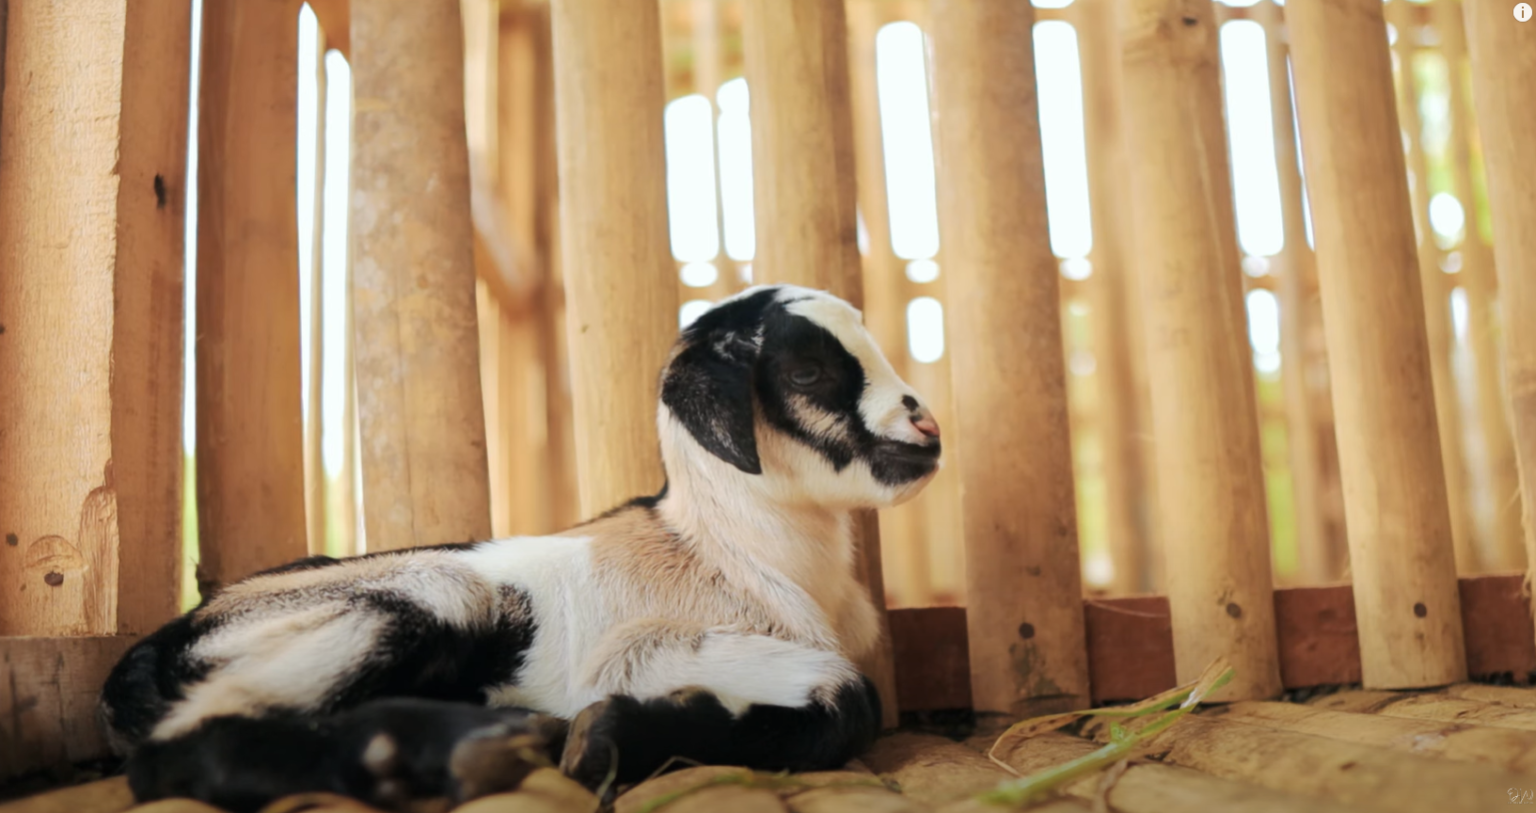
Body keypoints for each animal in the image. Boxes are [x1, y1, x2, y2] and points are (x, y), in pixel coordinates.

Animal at [102, 284, 943, 811]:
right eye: (806, 369)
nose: (927, 426)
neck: (722, 548)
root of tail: (155, 646)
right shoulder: (646, 650)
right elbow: (852, 696)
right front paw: (610, 738)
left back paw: (476, 746)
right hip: (408, 602)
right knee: (179, 745)